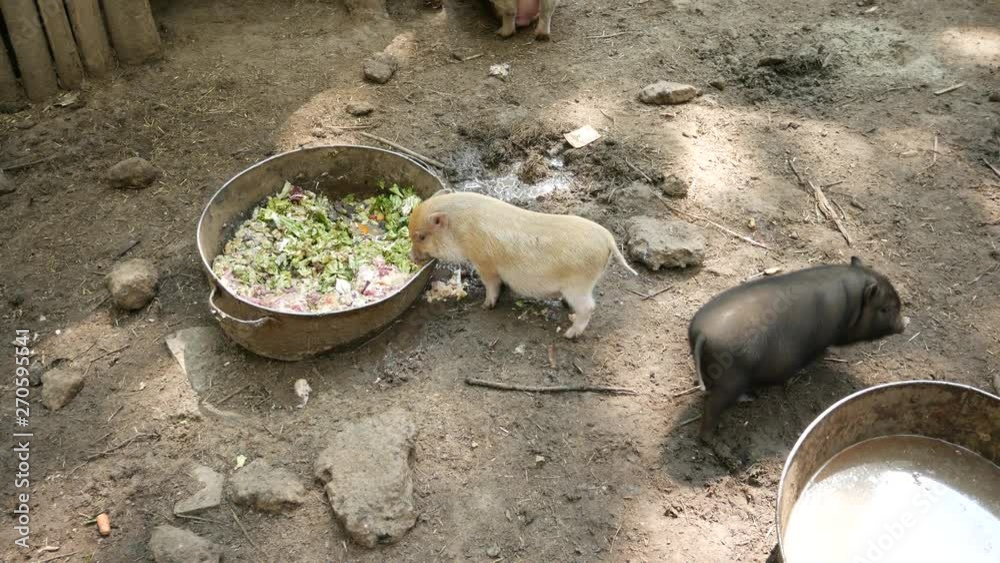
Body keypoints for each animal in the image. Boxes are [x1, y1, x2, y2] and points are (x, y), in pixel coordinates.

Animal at [408, 191, 637, 338]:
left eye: (421, 237)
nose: (411, 257)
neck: (461, 230)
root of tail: (607, 238)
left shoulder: (484, 262)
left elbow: (491, 284)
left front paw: (486, 306)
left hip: (578, 285)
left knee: (589, 307)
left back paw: (569, 334)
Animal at [688, 257, 909, 442]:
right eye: (885, 309)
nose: (905, 323)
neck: (851, 302)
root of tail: (703, 334)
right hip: (730, 380)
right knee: (712, 409)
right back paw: (712, 437)